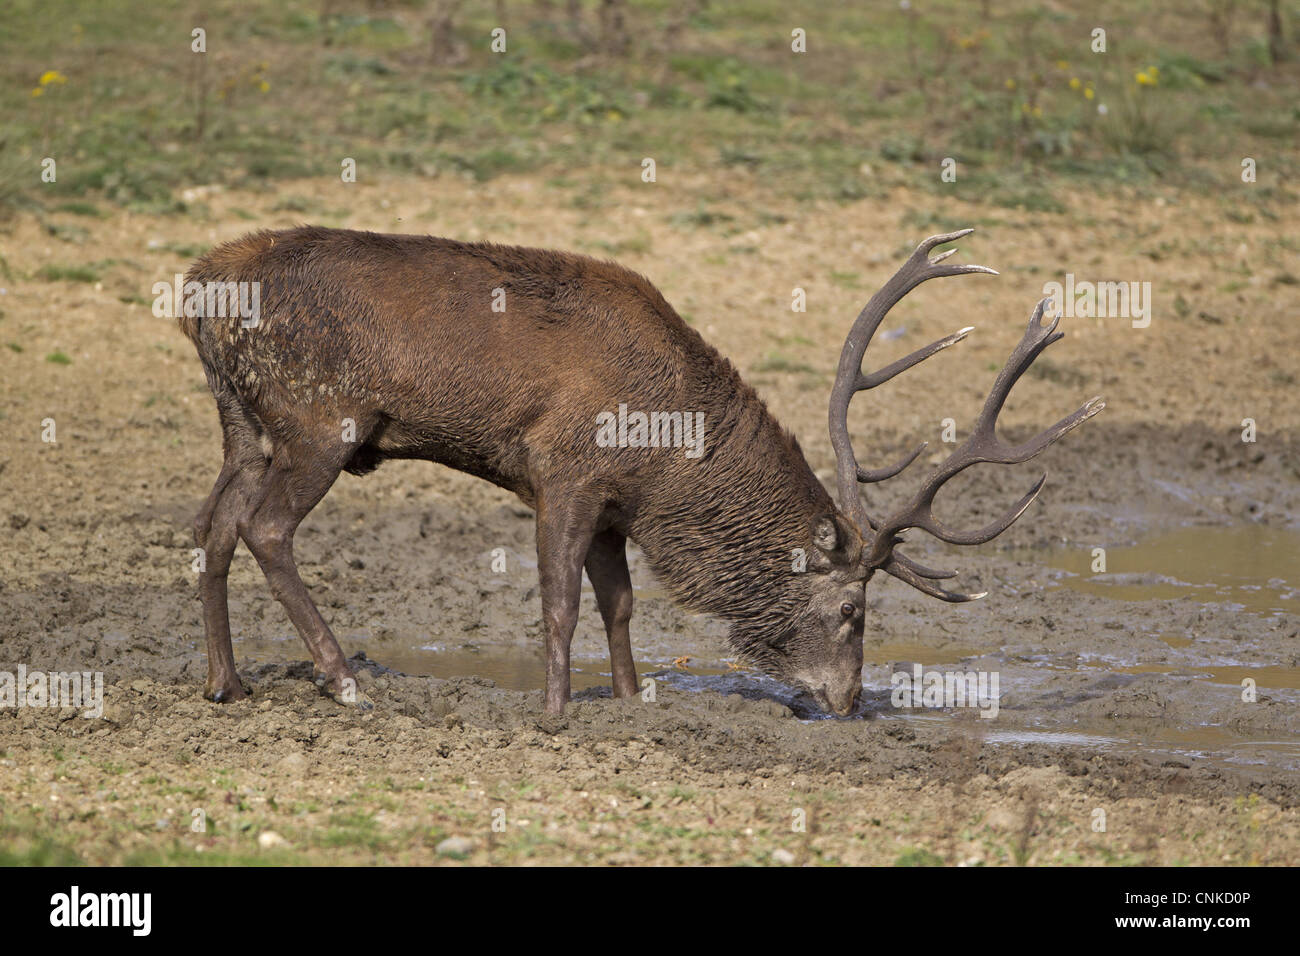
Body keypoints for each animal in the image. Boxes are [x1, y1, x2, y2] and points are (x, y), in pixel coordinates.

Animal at [180, 226, 1102, 716]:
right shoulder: (564, 469)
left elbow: (620, 604)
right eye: (853, 612)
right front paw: (554, 712)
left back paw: (227, 682)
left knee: (211, 526)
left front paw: (626, 698)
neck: (669, 457)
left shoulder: (618, 506)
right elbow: (559, 603)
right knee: (264, 527)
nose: (848, 702)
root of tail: (196, 288)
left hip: (245, 422)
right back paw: (342, 680)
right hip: (316, 419)